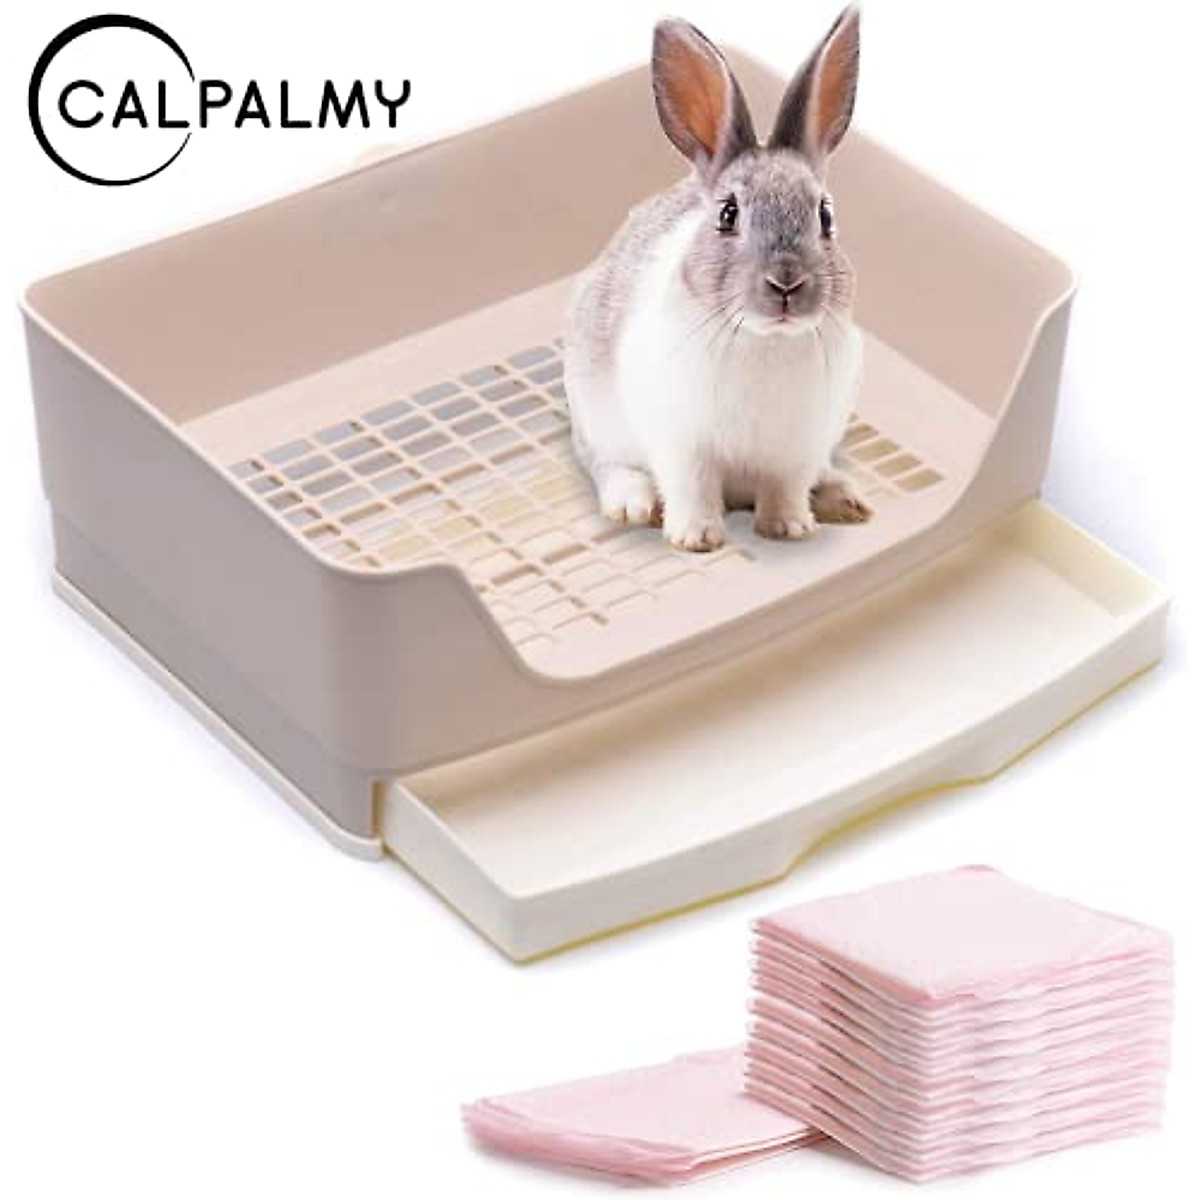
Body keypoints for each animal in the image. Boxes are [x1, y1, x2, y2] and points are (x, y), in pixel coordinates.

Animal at [565, 6, 871, 552]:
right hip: (597, 418)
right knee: (605, 464)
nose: (786, 284)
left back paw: (843, 499)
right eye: (728, 214)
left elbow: (785, 486)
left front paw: (789, 528)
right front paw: (696, 538)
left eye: (825, 216)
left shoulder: (797, 448)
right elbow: (693, 485)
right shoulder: (682, 442)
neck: (766, 339)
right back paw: (633, 504)